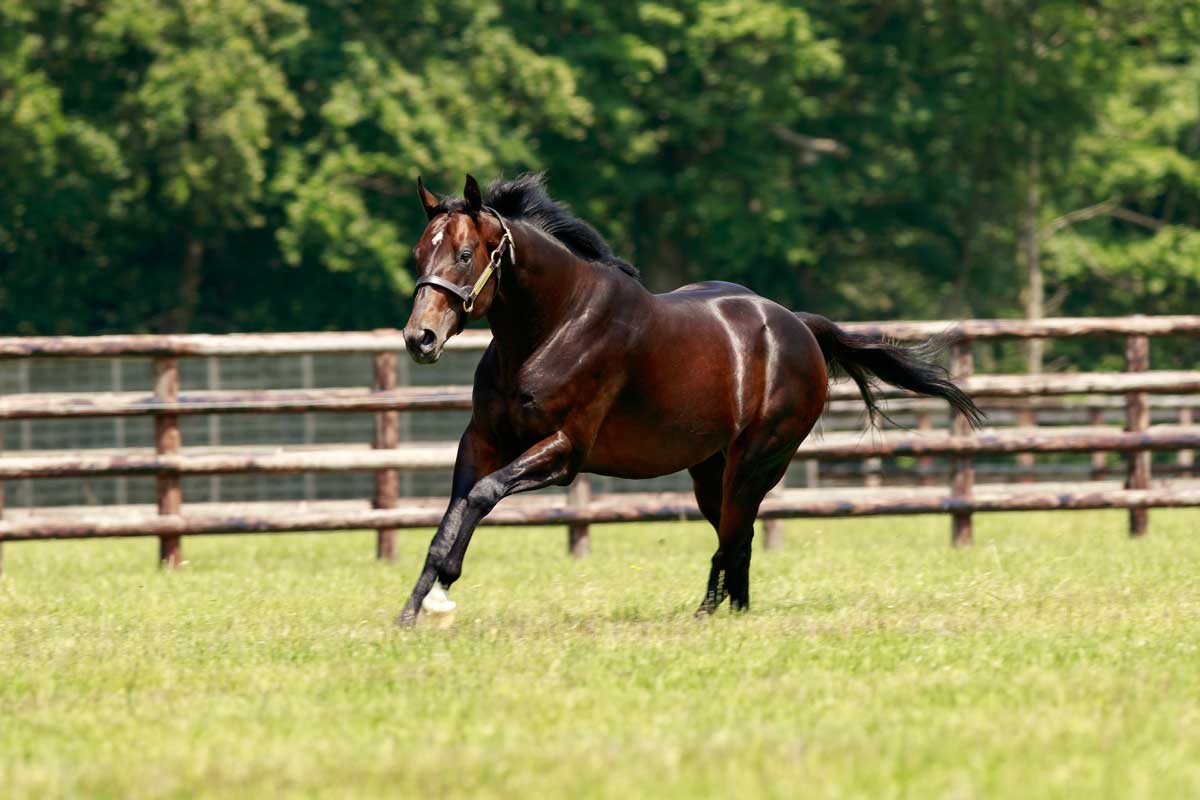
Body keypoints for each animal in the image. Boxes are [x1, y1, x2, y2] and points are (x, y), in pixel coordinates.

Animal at [397, 173, 981, 625]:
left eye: (465, 254)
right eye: (420, 253)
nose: (419, 338)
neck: (554, 325)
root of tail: (799, 325)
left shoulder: (564, 451)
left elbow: (481, 496)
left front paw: (443, 593)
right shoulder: (482, 440)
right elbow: (453, 513)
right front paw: (413, 609)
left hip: (756, 461)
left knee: (736, 533)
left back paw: (712, 613)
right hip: (709, 470)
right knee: (736, 535)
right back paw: (727, 612)